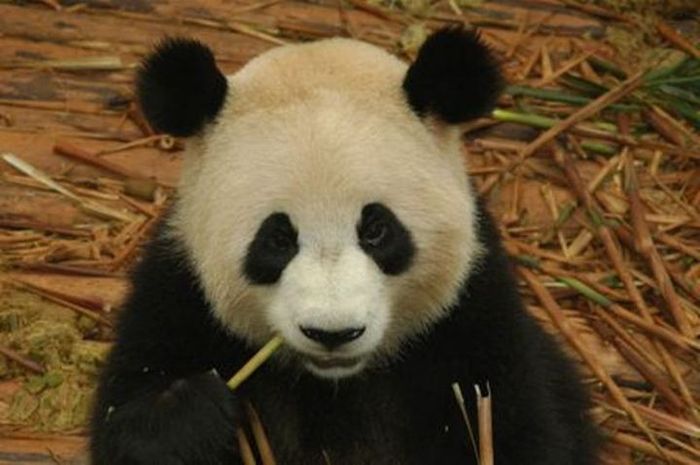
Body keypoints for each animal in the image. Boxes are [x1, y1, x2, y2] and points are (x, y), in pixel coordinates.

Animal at [90, 28, 598, 465]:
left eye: (376, 230)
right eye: (278, 238)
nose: (333, 333)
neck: (335, 384)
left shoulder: (474, 317)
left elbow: (521, 430)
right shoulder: (178, 295)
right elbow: (126, 418)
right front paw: (185, 412)